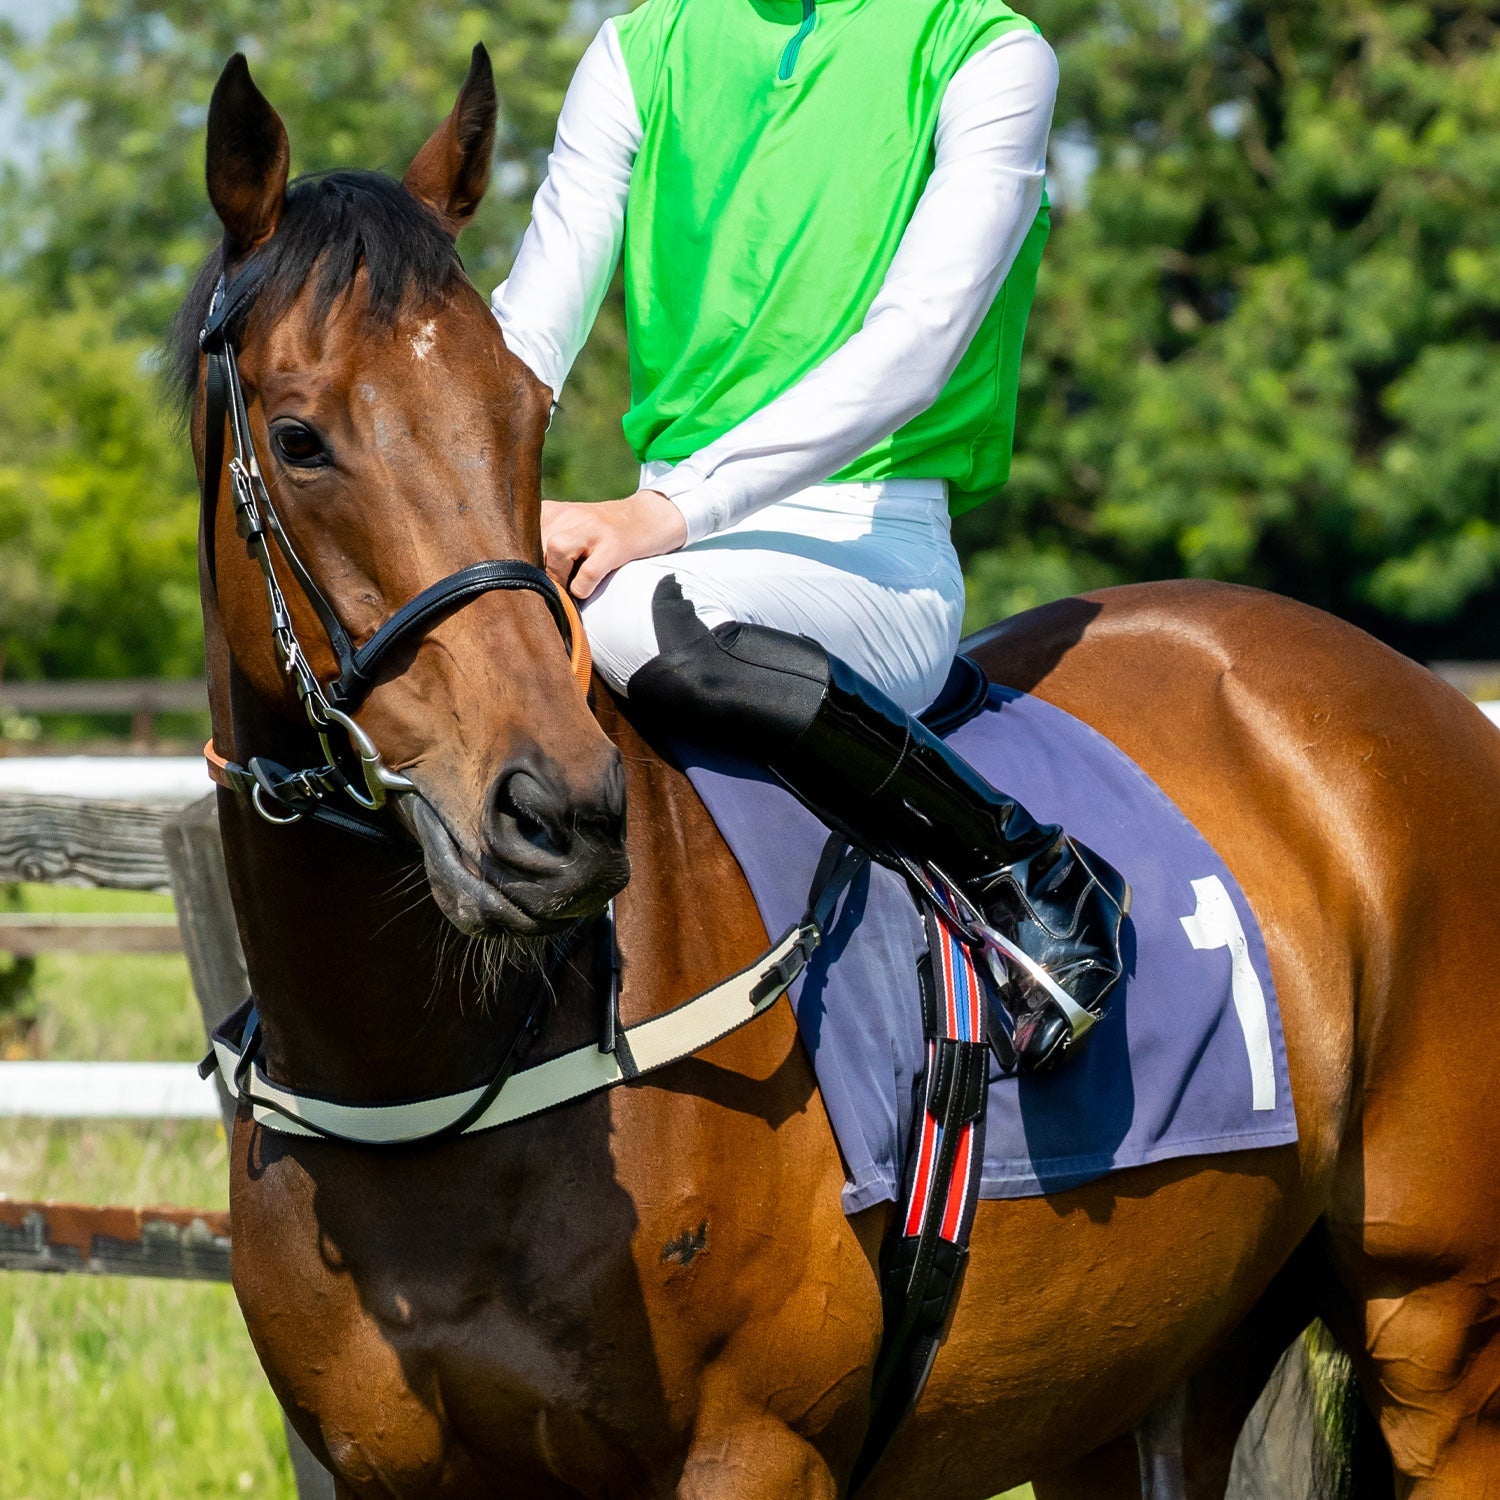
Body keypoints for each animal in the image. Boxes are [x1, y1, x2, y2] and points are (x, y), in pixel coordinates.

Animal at [177, 46, 1500, 1499]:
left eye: (525, 415)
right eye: (299, 438)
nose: (557, 817)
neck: (430, 1086)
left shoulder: (753, 1451)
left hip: (1445, 1339)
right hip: (1155, 1375)